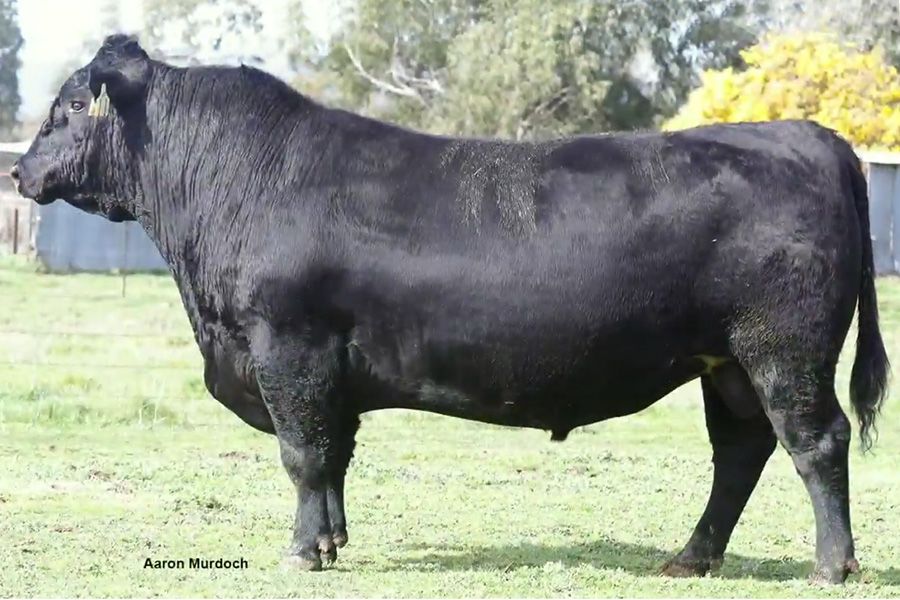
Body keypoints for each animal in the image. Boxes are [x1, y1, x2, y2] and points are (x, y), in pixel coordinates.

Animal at [13, 35, 889, 583]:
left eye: (63, 111)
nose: (20, 172)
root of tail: (804, 135)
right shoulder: (327, 372)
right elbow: (334, 455)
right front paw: (332, 540)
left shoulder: (287, 347)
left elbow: (303, 453)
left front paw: (301, 551)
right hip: (728, 362)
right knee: (740, 452)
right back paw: (691, 558)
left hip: (784, 349)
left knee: (816, 442)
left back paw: (831, 564)